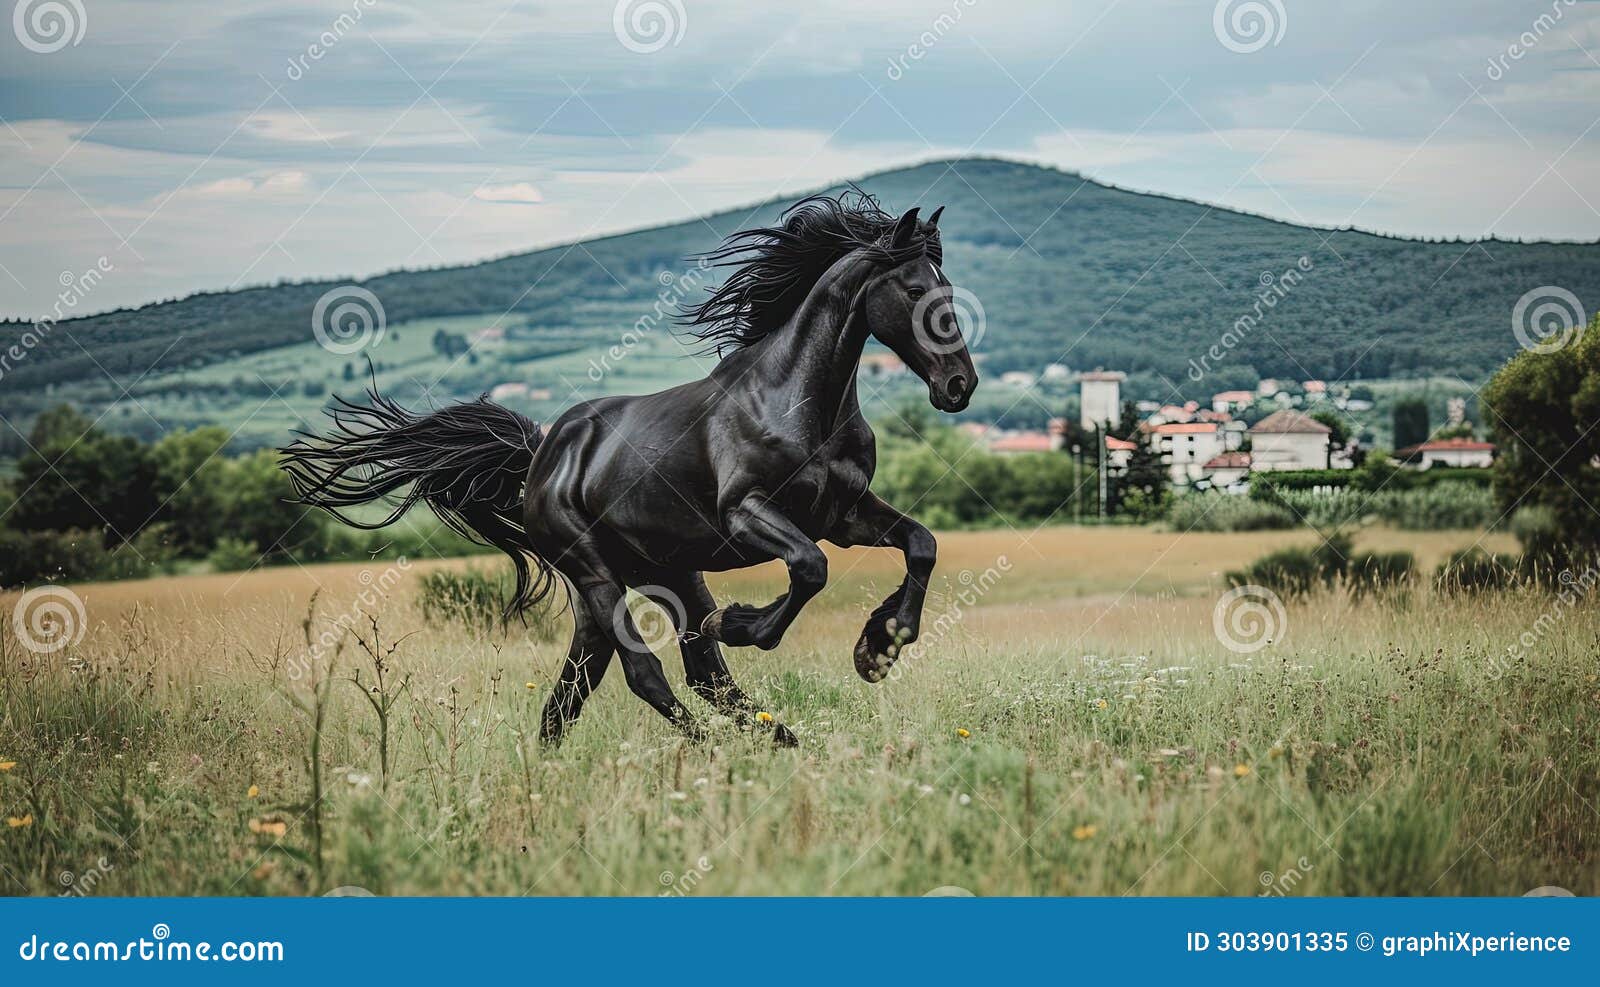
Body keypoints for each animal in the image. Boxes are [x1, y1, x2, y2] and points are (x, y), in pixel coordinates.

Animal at [280, 192, 978, 747]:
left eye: (947, 288)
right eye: (916, 291)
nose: (959, 385)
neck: (796, 402)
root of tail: (541, 456)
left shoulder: (843, 511)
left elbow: (921, 544)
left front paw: (879, 647)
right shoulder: (750, 513)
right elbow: (810, 569)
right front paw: (748, 624)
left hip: (661, 574)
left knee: (609, 687)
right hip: (596, 574)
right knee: (649, 674)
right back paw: (719, 742)